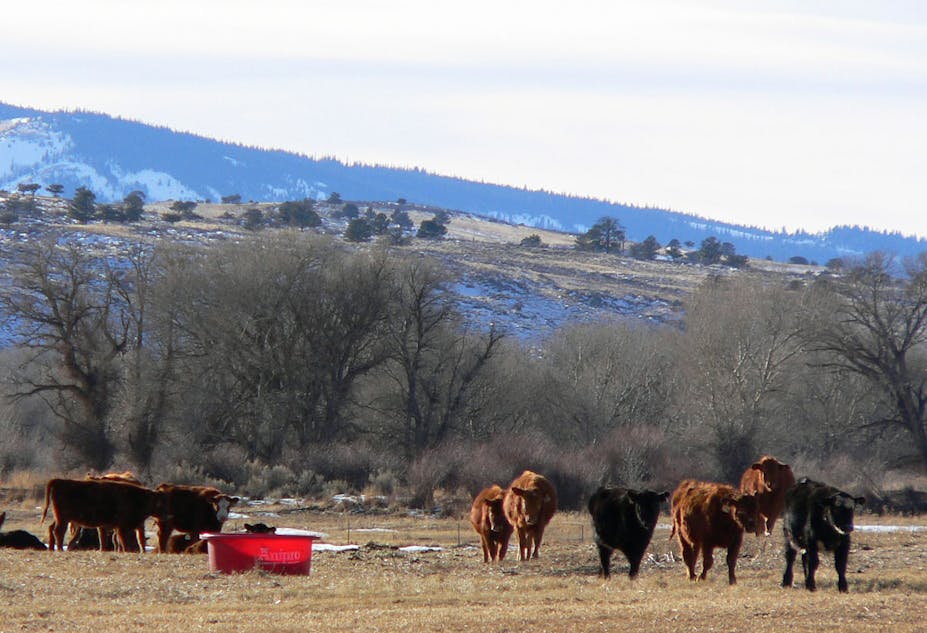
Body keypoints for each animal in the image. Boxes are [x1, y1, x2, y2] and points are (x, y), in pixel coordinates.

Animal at [41, 478, 171, 552]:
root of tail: (59, 481)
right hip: (63, 518)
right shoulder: (122, 527)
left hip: (59, 518)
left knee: (52, 528)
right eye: (161, 502)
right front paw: (125, 550)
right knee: (58, 531)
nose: (169, 515)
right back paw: (59, 549)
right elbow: (122, 540)